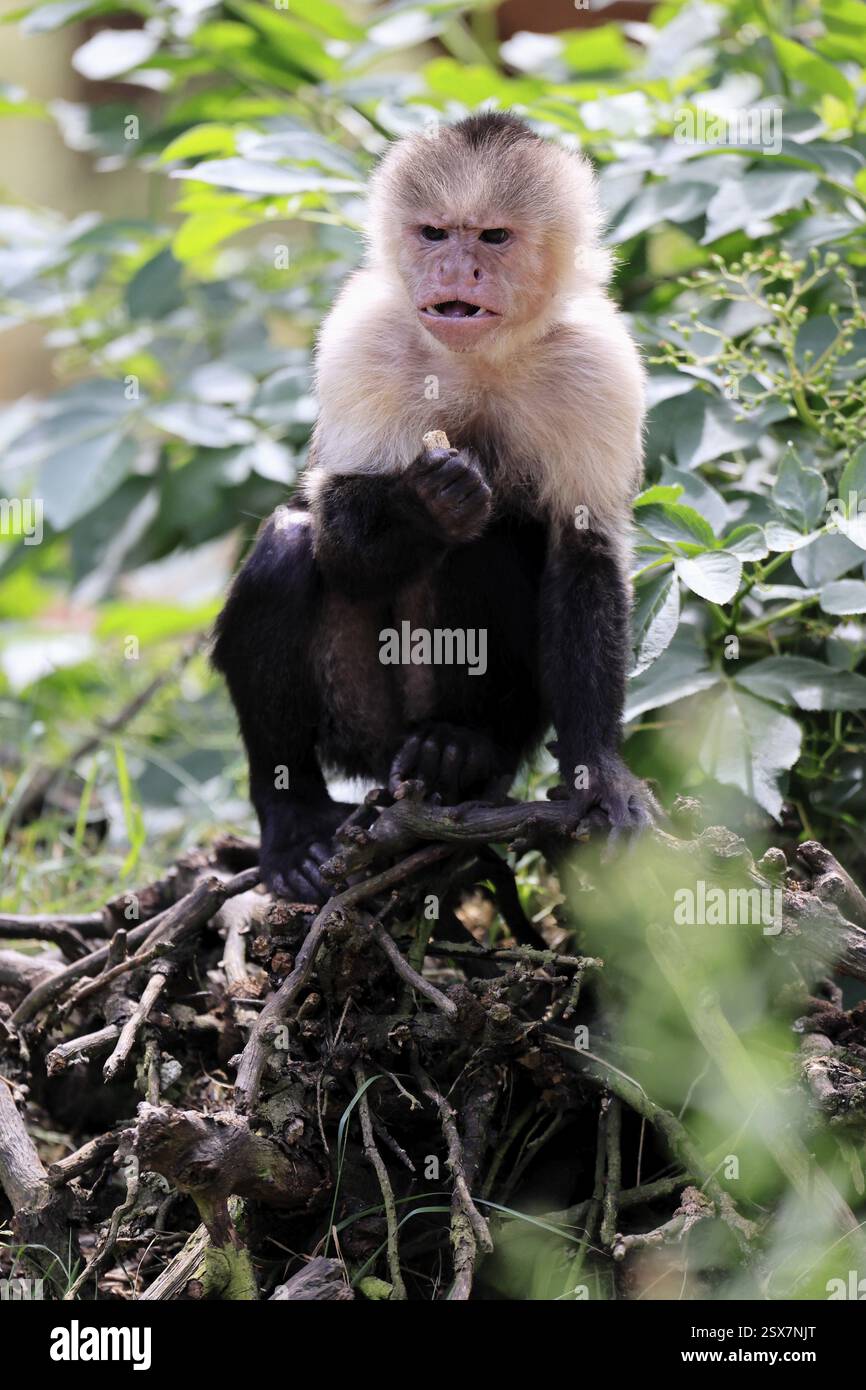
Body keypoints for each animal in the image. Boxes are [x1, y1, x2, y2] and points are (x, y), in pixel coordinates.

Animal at [213, 112, 650, 904]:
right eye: (436, 233)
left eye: (494, 237)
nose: (455, 273)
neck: (482, 356)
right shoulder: (362, 337)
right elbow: (335, 534)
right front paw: (430, 500)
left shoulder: (600, 364)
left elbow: (585, 555)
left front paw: (598, 774)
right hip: (357, 720)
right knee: (290, 546)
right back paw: (293, 819)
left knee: (499, 543)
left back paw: (462, 749)